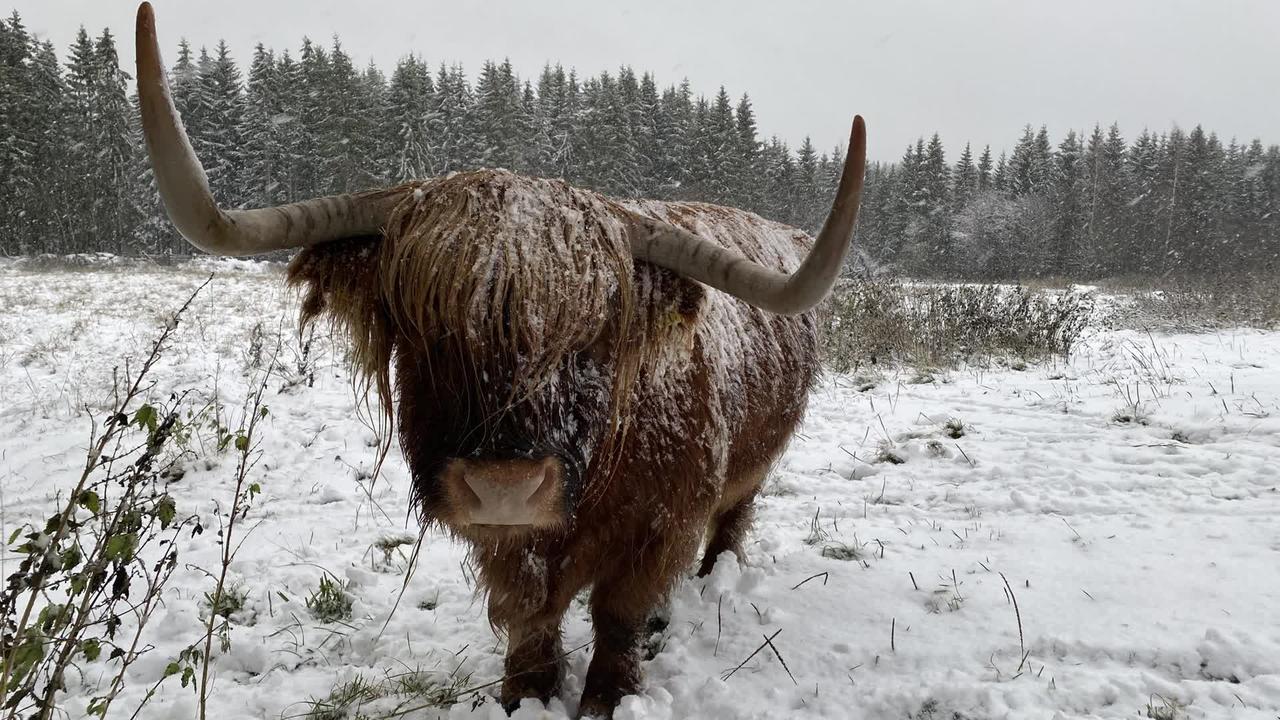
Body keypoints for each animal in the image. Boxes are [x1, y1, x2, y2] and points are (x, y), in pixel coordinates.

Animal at [134, 3, 865, 716]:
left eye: (594, 336)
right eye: (425, 328)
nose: (506, 487)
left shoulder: (660, 525)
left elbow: (619, 614)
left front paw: (610, 695)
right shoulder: (506, 544)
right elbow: (528, 612)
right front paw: (526, 691)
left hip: (753, 467)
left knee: (734, 519)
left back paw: (715, 581)